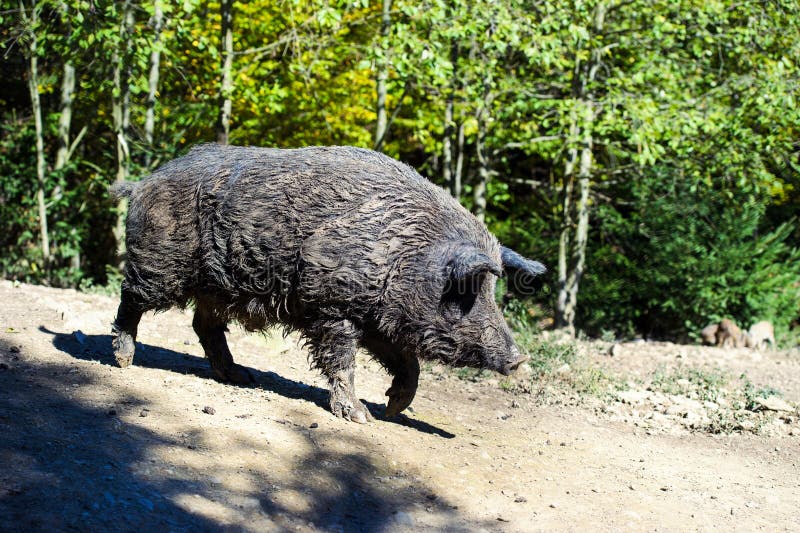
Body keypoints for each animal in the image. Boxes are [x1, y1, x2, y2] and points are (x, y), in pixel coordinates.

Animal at [111, 144, 546, 423]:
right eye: (466, 291)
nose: (519, 358)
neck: (403, 255)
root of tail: (142, 183)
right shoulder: (333, 305)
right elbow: (342, 362)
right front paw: (361, 418)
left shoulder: (376, 319)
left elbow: (408, 364)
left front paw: (391, 410)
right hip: (158, 264)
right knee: (131, 301)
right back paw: (124, 361)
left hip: (215, 288)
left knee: (204, 325)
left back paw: (241, 377)